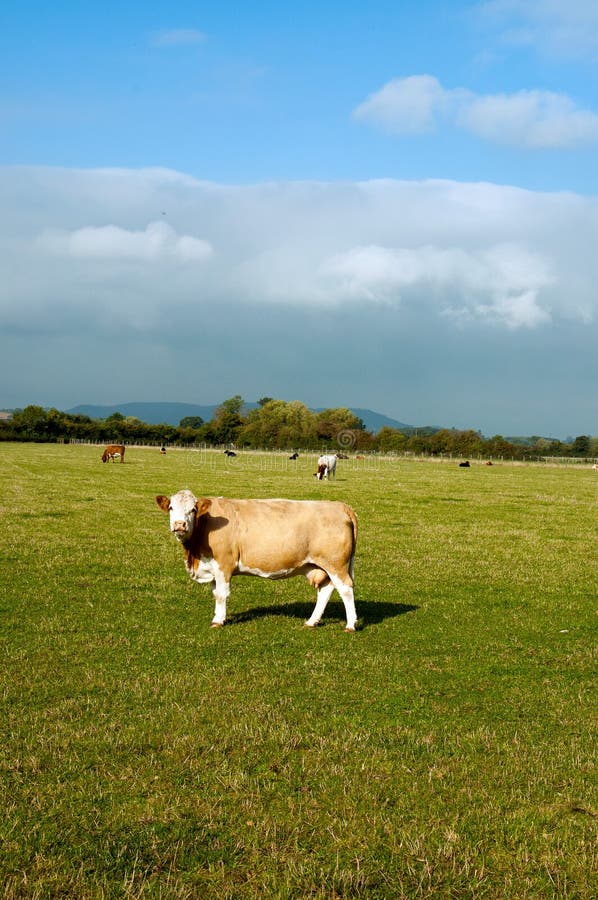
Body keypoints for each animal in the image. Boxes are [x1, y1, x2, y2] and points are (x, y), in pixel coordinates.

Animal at [155, 489, 358, 631]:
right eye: (171, 508)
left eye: (193, 510)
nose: (179, 525)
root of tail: (339, 506)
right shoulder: (212, 568)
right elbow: (215, 594)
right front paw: (217, 616)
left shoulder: (224, 565)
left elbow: (221, 594)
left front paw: (218, 621)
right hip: (323, 566)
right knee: (326, 590)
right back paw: (311, 621)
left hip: (336, 565)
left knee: (346, 589)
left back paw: (350, 625)